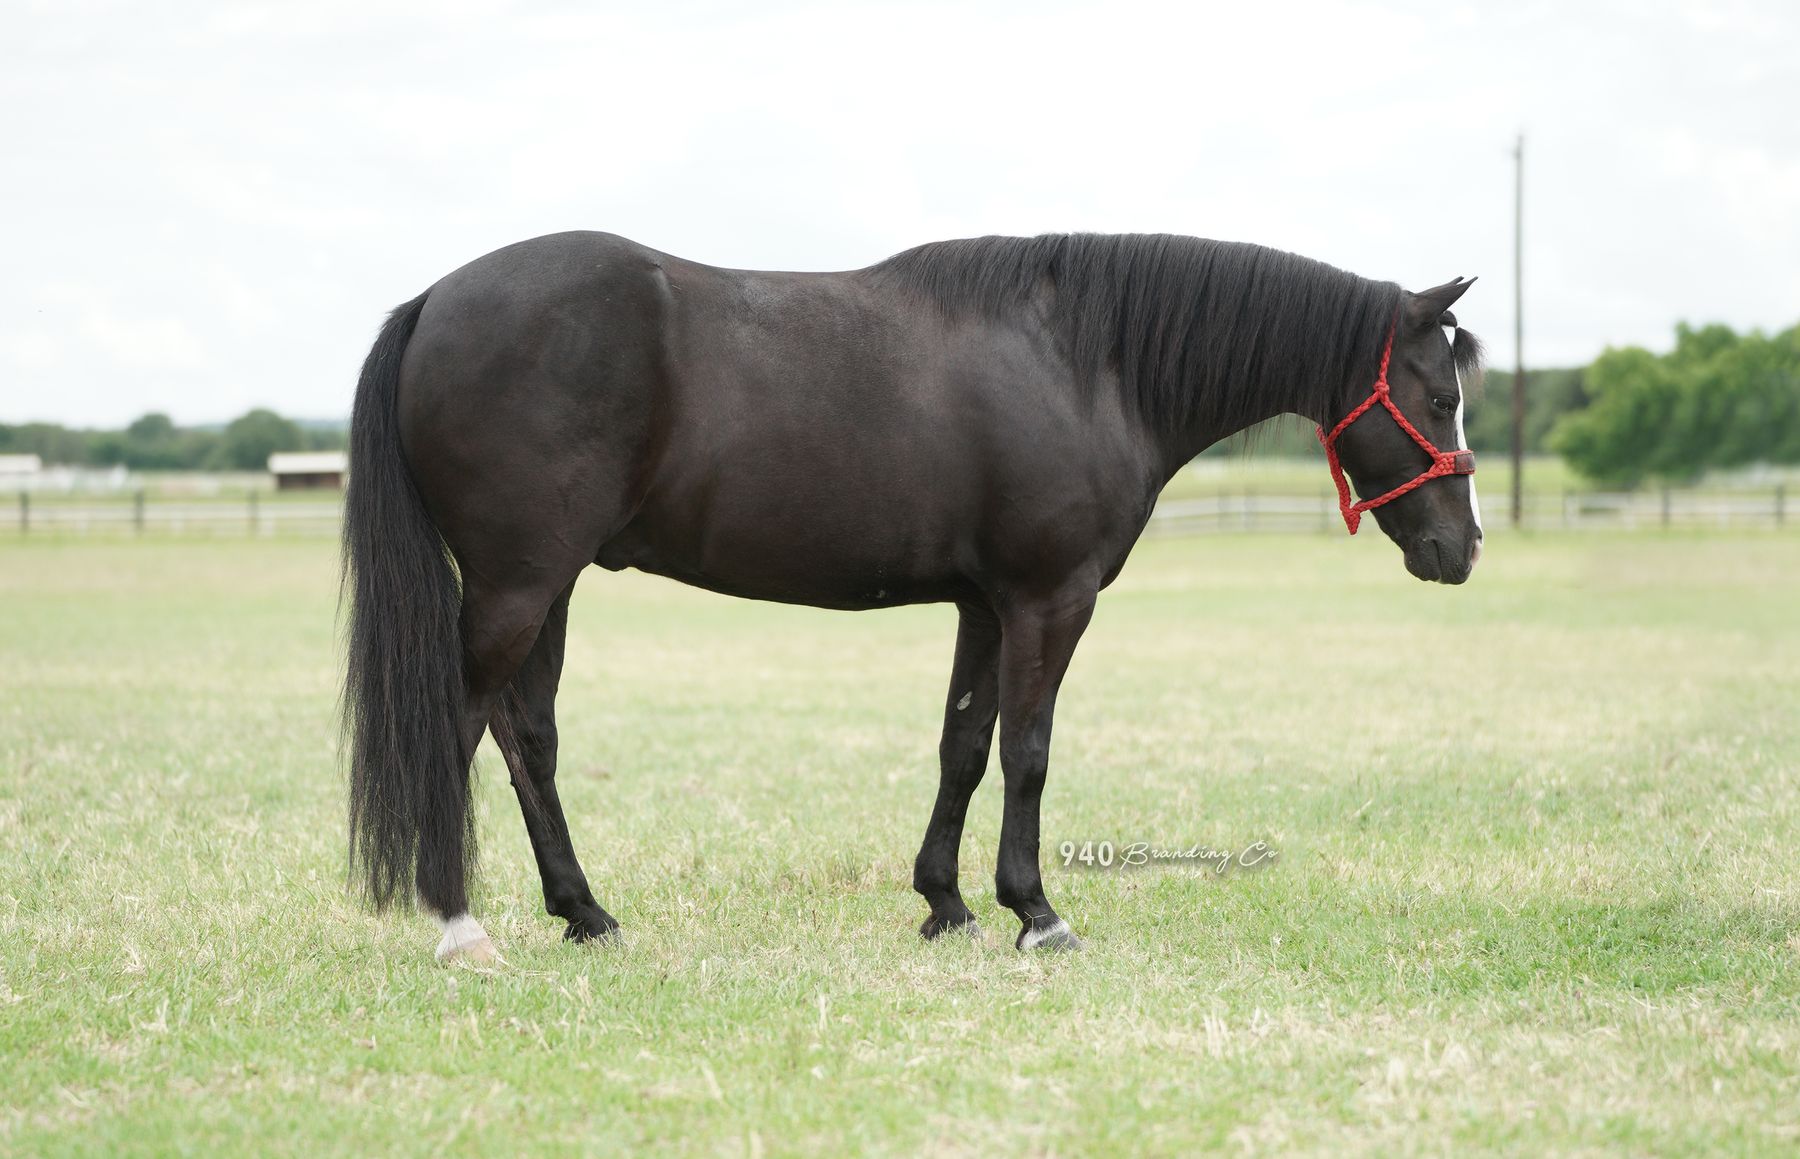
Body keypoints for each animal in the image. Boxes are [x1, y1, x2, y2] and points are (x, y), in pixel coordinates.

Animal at [341, 231, 1484, 962]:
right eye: (1438, 397)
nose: (1462, 549)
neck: (1083, 362)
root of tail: (432, 301)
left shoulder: (985, 605)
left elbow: (964, 744)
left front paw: (948, 903)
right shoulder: (1049, 599)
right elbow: (1029, 750)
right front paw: (1037, 912)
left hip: (549, 584)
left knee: (525, 734)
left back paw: (586, 914)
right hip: (518, 582)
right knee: (459, 723)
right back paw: (461, 924)